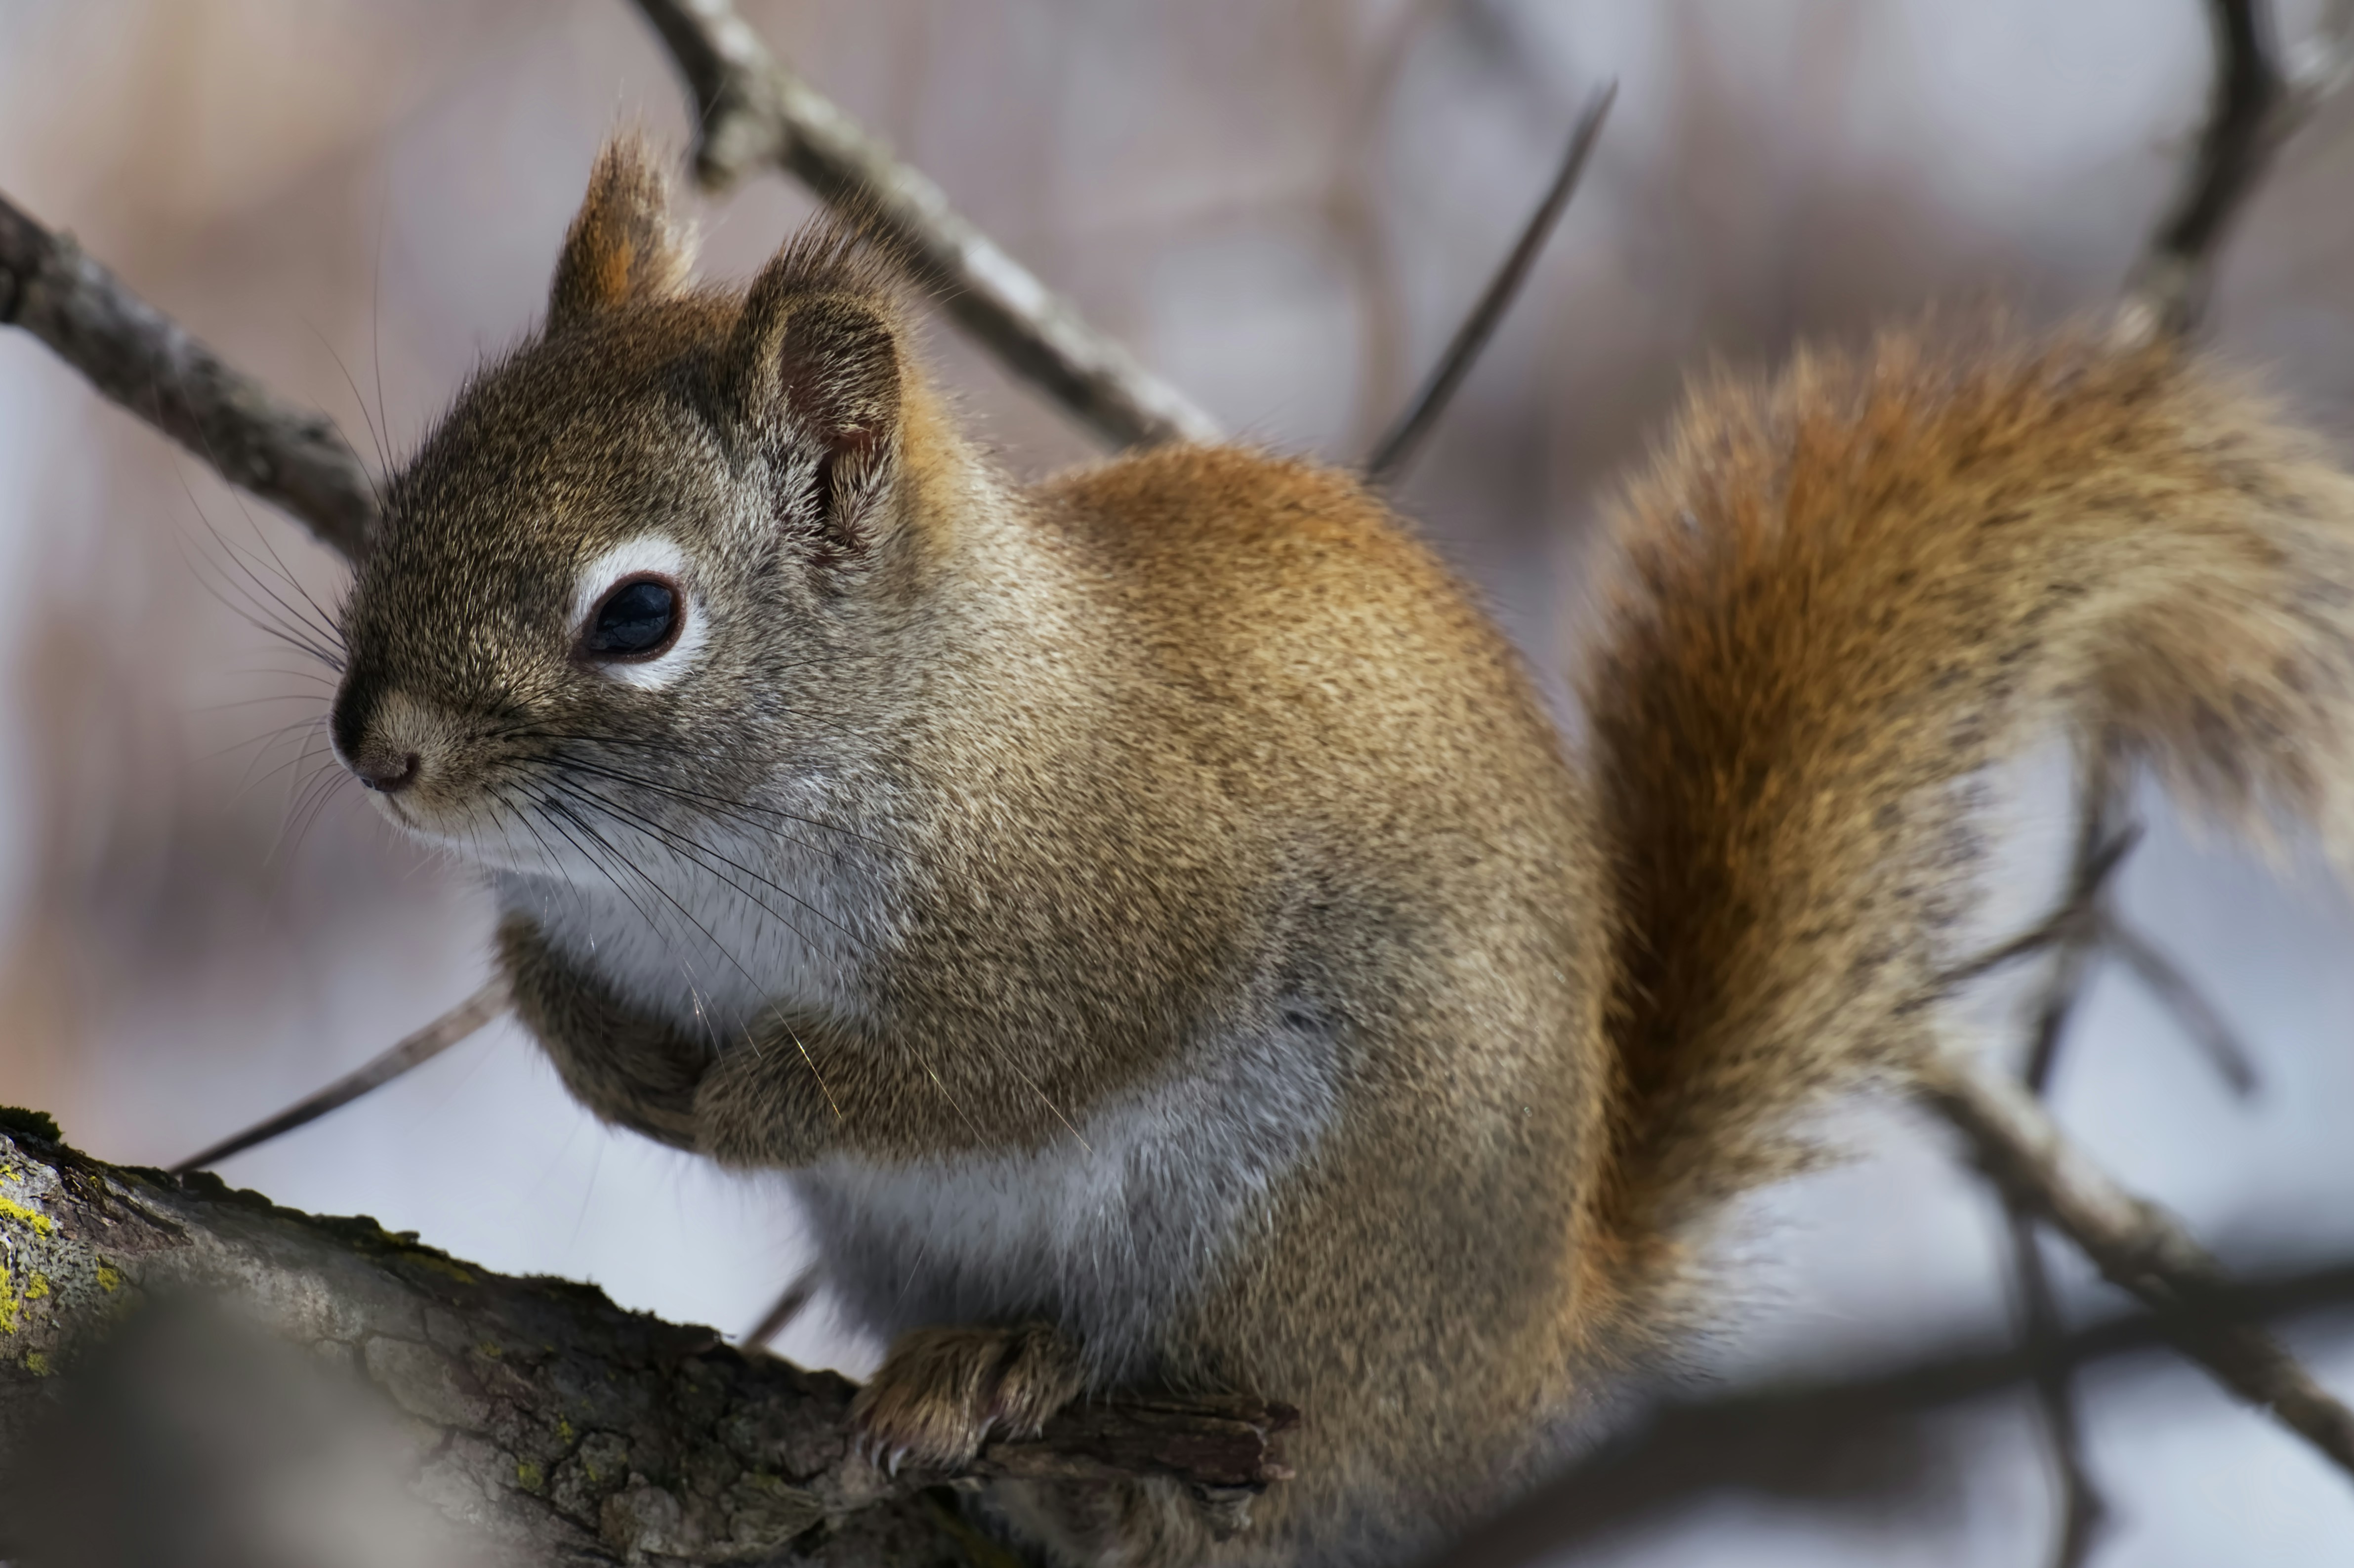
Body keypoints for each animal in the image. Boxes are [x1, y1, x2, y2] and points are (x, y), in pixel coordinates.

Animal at [328, 137, 2354, 1564]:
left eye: (639, 616)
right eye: (411, 481)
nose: (376, 753)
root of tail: (1526, 1350)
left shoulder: (1111, 905)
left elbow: (987, 1060)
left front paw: (758, 1096)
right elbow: (539, 976)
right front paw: (601, 1052)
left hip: (1293, 1221)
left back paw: (1033, 1379)